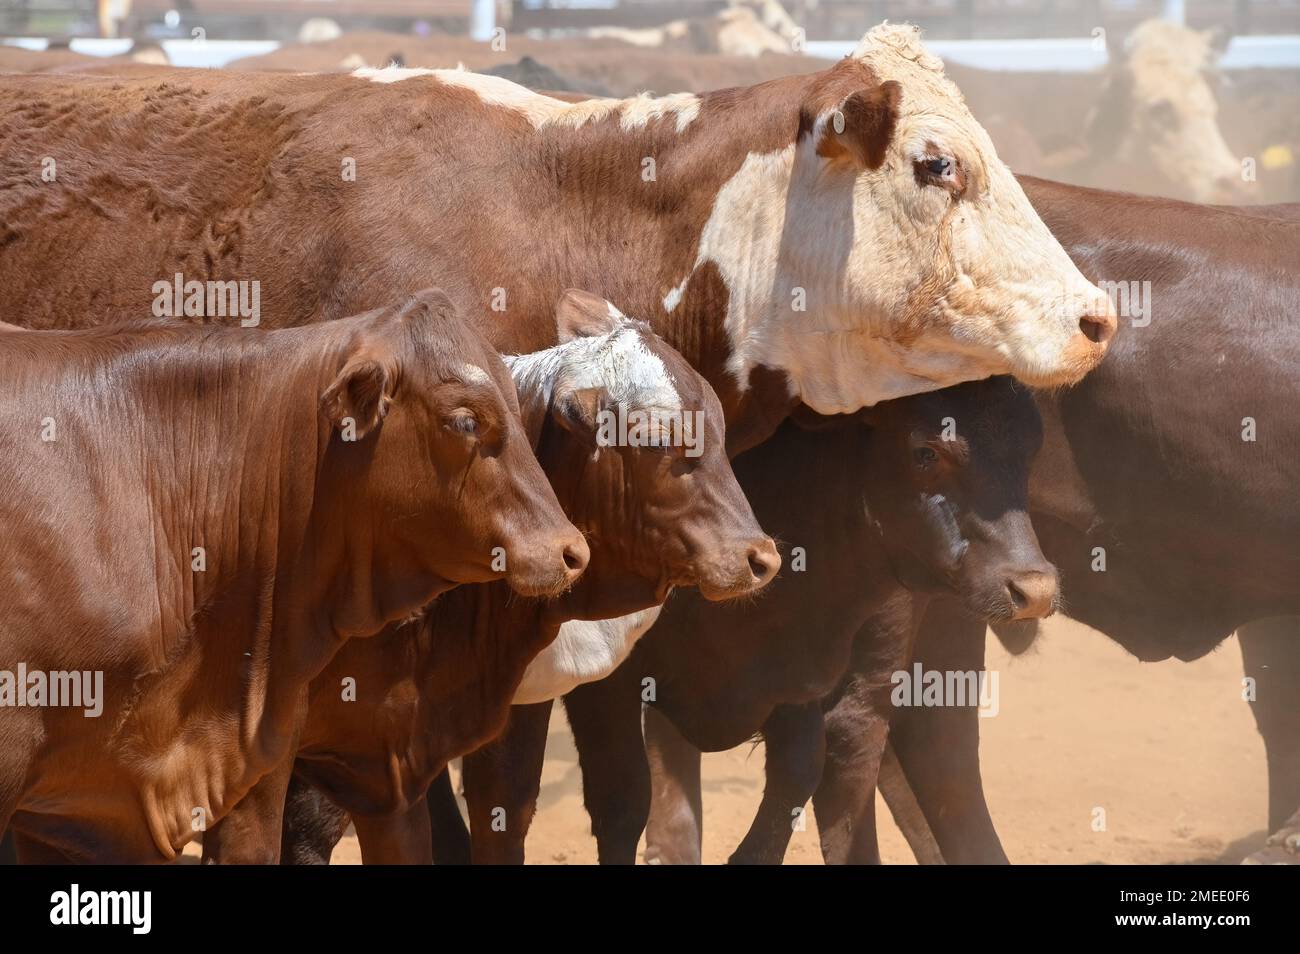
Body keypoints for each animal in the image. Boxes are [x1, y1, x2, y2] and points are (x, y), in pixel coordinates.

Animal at [422, 374, 1058, 863]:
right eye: (926, 452)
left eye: (1030, 454)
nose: (1034, 588)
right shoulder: (605, 683)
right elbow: (623, 798)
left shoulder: (801, 679)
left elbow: (800, 774)